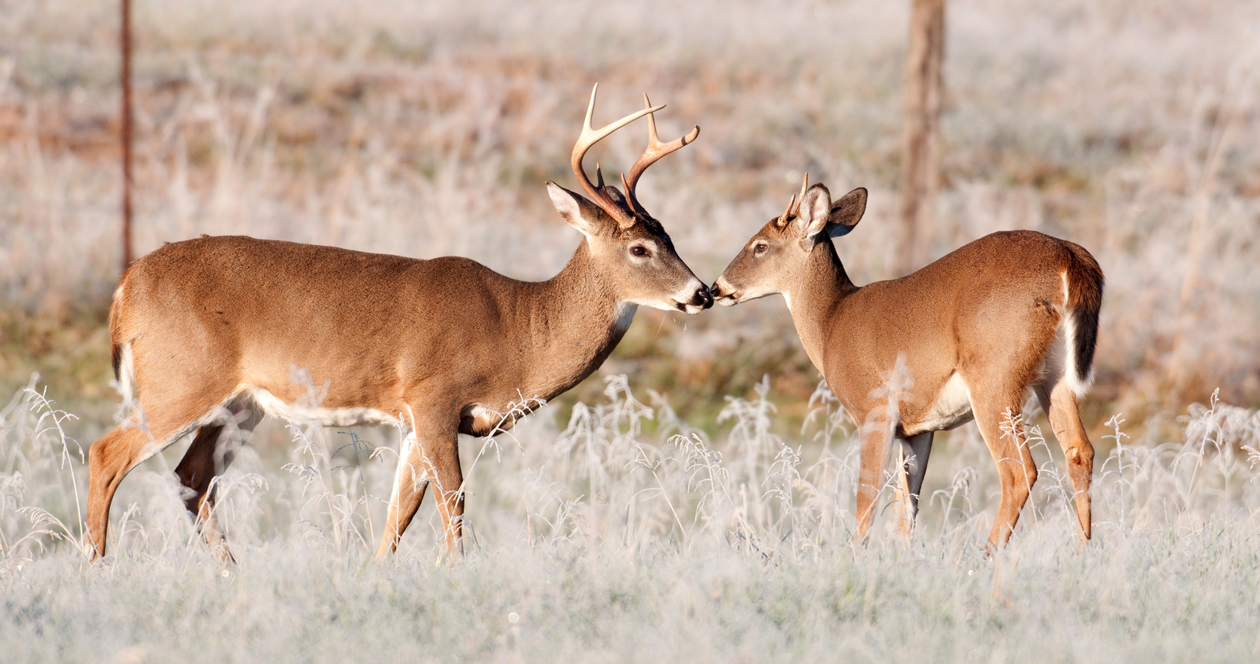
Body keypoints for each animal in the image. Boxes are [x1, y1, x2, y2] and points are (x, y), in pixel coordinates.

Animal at [86, 85, 713, 562]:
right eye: (638, 248)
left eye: (669, 236)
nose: (701, 293)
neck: (519, 330)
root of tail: (127, 285)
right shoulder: (435, 395)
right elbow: (452, 506)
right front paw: (456, 577)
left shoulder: (415, 417)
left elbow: (397, 517)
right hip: (184, 379)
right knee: (106, 453)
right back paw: (97, 567)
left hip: (240, 402)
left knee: (192, 478)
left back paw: (231, 574)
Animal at [710, 177, 1103, 548]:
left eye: (760, 245)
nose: (716, 288)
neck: (831, 322)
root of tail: (1070, 257)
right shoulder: (918, 429)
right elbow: (906, 506)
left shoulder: (874, 408)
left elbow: (867, 499)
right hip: (1054, 375)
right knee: (1079, 451)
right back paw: (1082, 551)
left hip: (994, 375)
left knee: (1019, 470)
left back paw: (987, 556)